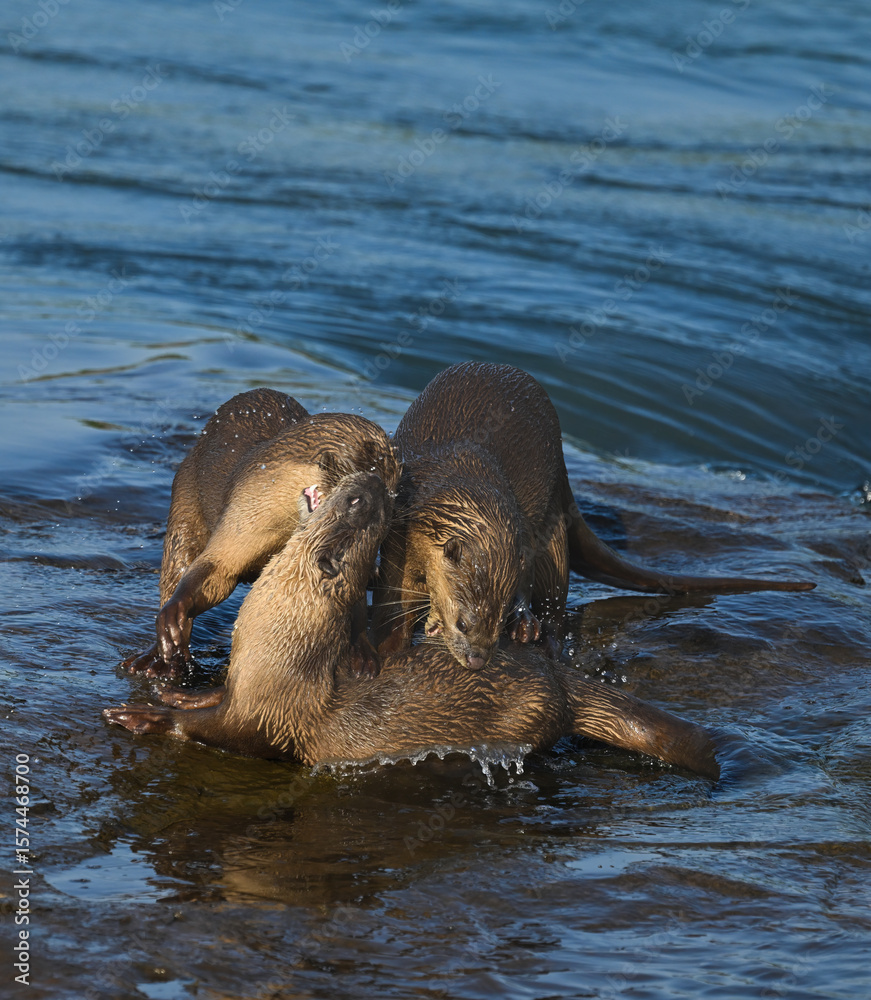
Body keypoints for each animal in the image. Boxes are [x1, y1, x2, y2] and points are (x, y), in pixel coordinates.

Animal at [104, 472, 721, 780]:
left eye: (360, 503)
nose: (374, 478)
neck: (275, 641)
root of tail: (561, 682)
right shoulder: (243, 683)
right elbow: (213, 697)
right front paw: (176, 693)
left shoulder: (270, 718)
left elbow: (223, 731)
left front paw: (148, 717)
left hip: (529, 715)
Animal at [124, 387, 399, 678]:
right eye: (354, 488)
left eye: (389, 496)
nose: (376, 488)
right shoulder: (247, 512)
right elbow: (217, 568)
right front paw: (174, 616)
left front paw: (361, 650)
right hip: (183, 506)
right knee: (176, 566)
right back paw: (155, 659)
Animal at [372, 362, 814, 670]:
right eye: (463, 623)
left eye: (495, 623)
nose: (479, 660)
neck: (456, 469)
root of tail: (563, 459)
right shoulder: (400, 543)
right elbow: (394, 601)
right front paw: (392, 647)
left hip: (551, 527)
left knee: (553, 596)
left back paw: (536, 632)